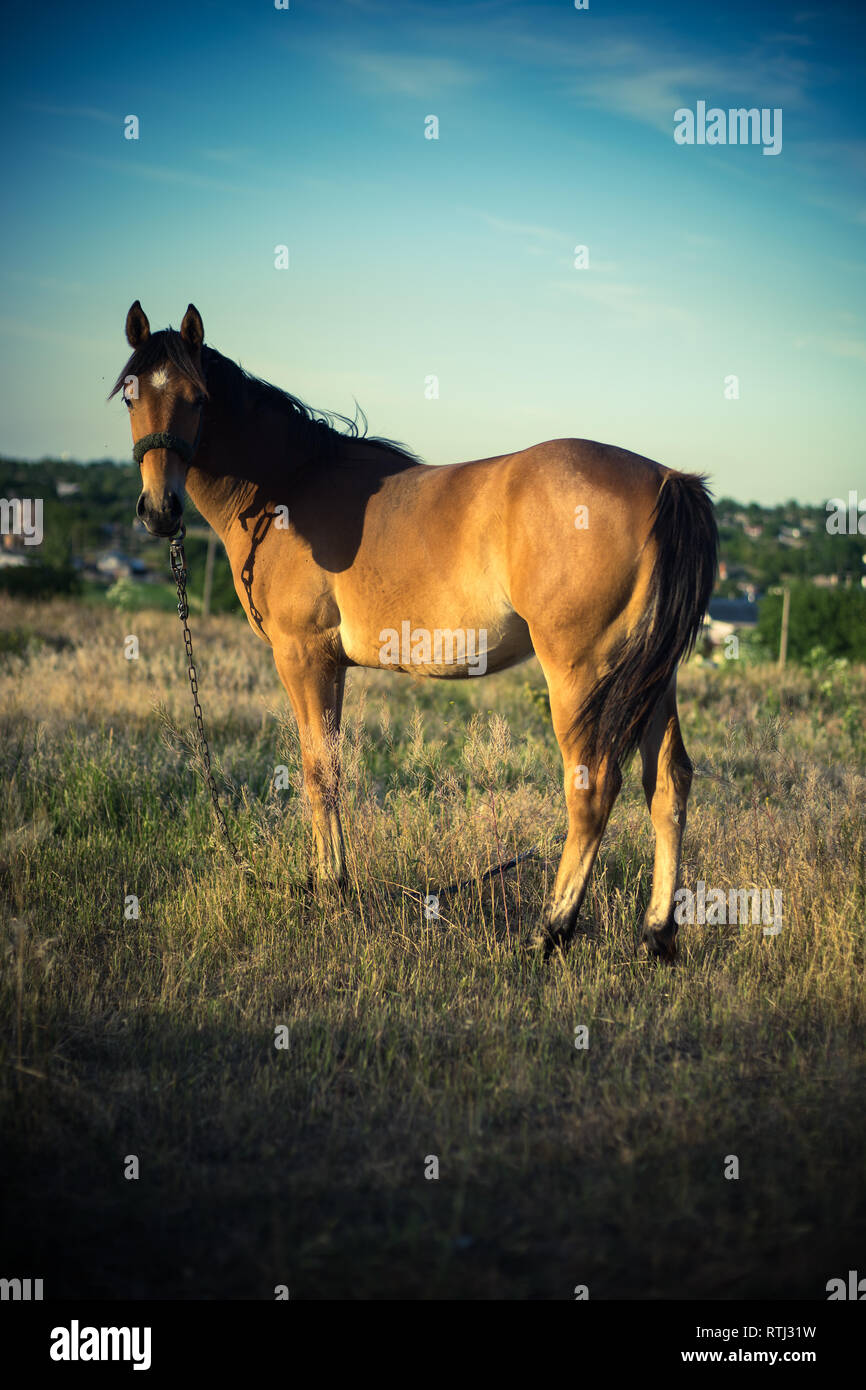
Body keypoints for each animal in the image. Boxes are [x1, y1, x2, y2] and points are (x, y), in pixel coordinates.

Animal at [112, 301, 718, 960]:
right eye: (130, 395)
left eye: (198, 397)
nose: (159, 510)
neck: (288, 486)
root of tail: (665, 480)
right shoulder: (330, 665)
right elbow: (329, 767)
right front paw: (328, 882)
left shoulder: (304, 657)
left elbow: (319, 772)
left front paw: (333, 891)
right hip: (651, 678)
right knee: (669, 784)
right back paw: (658, 936)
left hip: (581, 674)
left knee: (592, 788)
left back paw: (550, 932)